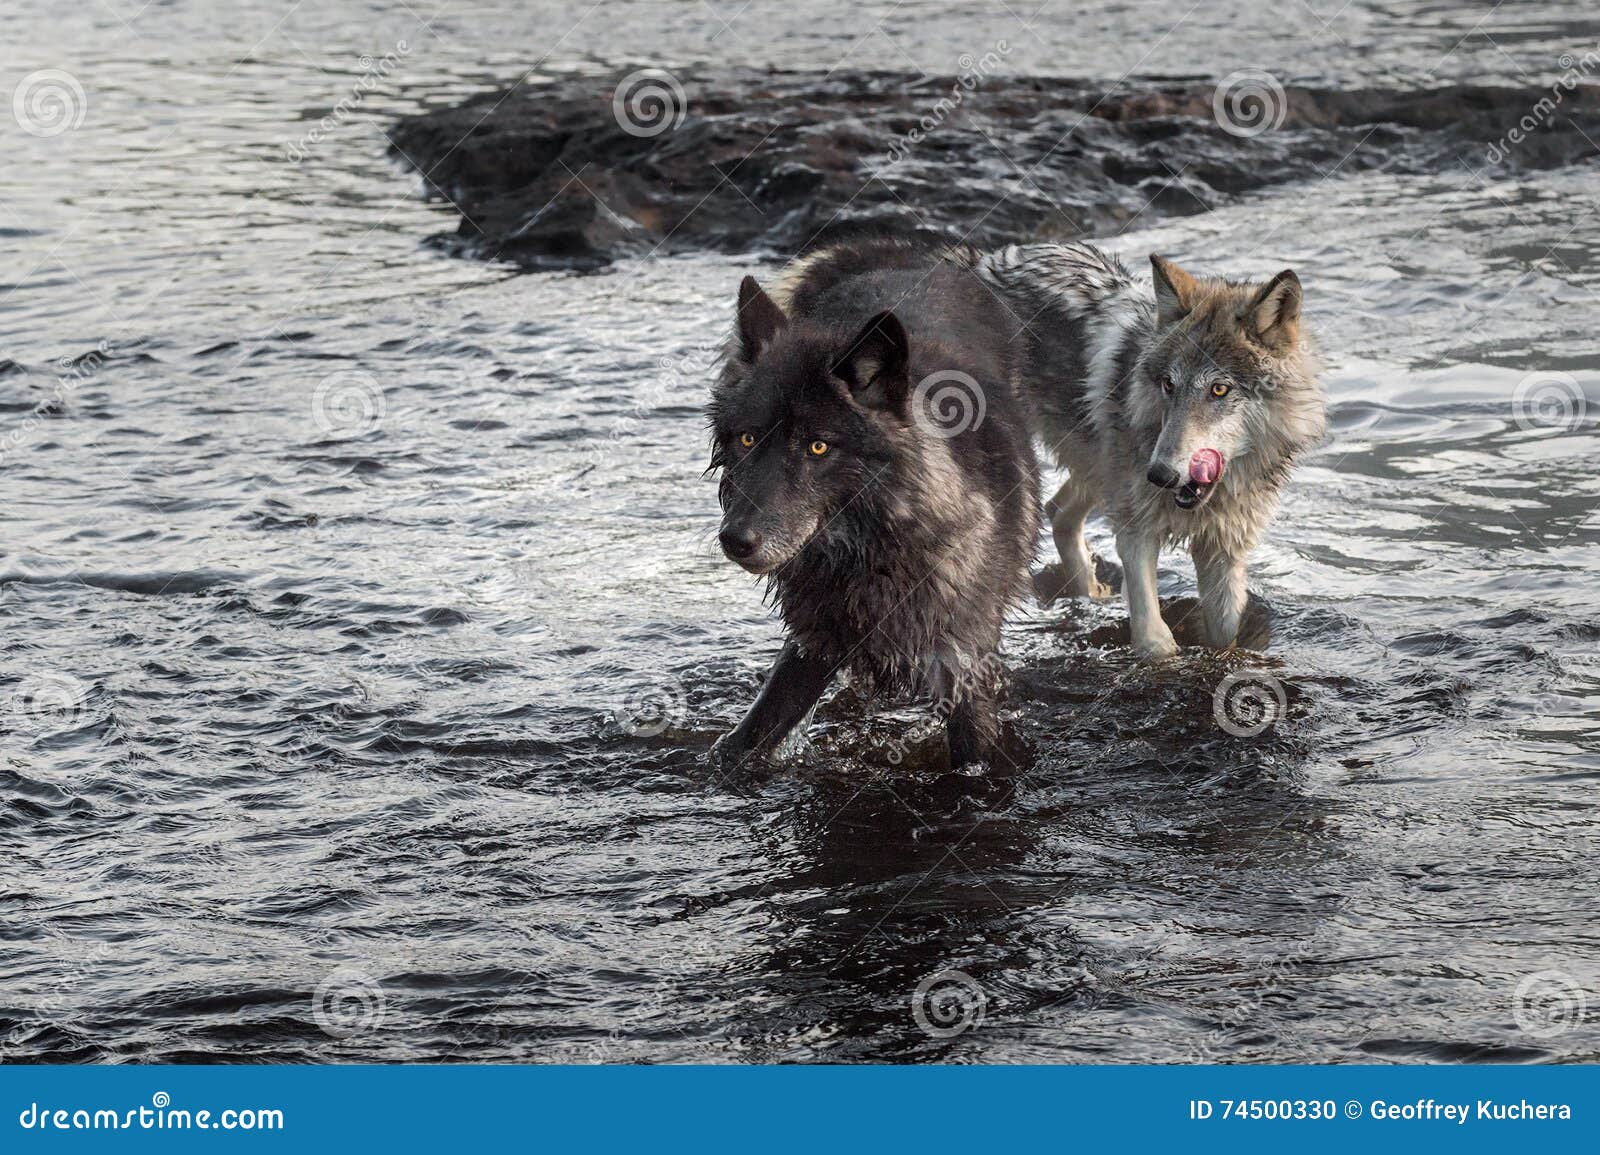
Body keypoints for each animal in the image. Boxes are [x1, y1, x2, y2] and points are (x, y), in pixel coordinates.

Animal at [706, 239, 1040, 769]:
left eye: (818, 446)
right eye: (747, 438)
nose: (736, 540)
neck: (870, 554)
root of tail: (907, 257)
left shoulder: (961, 670)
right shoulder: (811, 644)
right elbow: (751, 735)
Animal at [974, 243, 1326, 660]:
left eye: (1219, 389)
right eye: (1169, 385)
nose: (1160, 474)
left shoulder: (1224, 552)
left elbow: (1226, 633)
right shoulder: (1135, 532)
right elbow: (1155, 640)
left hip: (1098, 469)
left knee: (1059, 511)